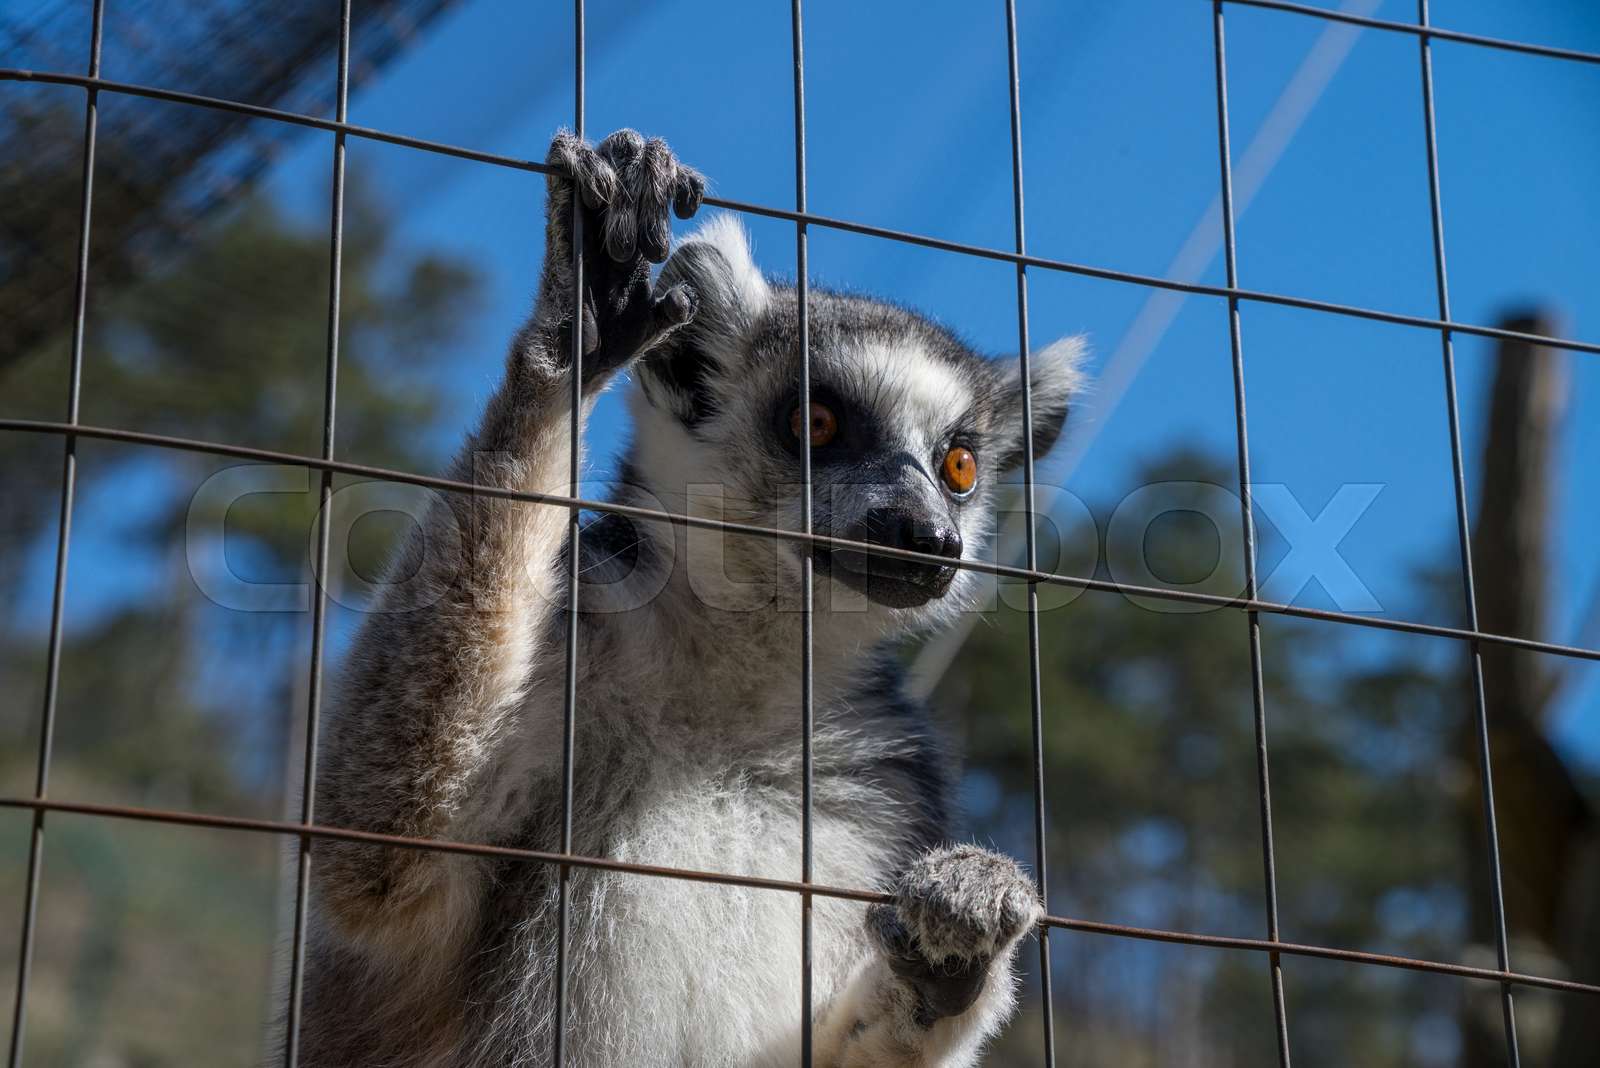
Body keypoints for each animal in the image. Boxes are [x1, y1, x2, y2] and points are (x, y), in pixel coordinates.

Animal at [300, 128, 1084, 1067]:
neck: (738, 680)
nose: (925, 535)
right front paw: (577, 326)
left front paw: (951, 951)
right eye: (814, 424)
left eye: (959, 466)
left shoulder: (890, 784)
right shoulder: (578, 639)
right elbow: (380, 858)